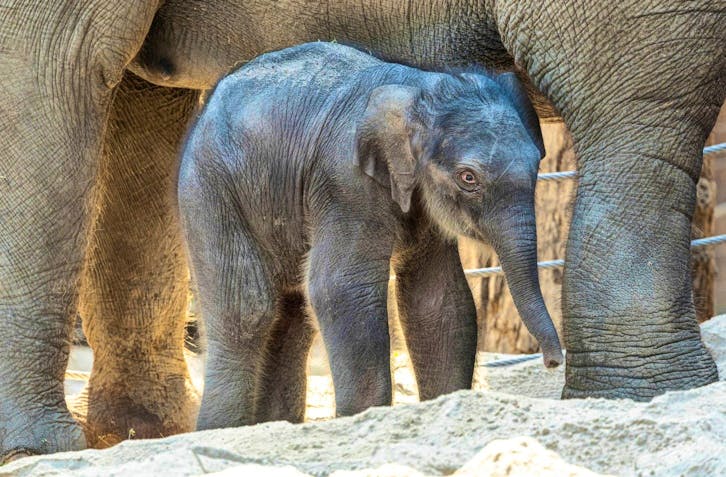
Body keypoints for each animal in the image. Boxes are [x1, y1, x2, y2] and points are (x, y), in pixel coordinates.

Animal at [179, 42, 563, 428]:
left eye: (537, 165)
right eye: (468, 178)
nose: (553, 361)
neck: (421, 86)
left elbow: (438, 298)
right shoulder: (345, 182)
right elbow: (340, 287)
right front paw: (361, 416)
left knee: (292, 315)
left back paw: (275, 425)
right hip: (210, 190)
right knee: (248, 308)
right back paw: (219, 429)